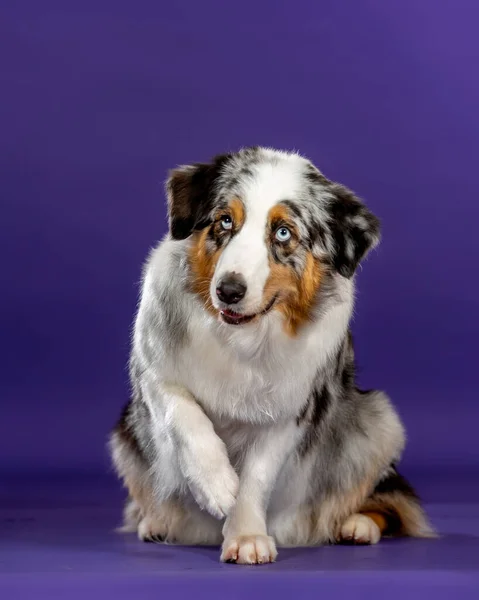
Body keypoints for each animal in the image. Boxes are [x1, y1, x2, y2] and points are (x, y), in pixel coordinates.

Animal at [110, 145, 436, 564]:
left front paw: (247, 536)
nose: (228, 290)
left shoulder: (293, 407)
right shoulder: (153, 372)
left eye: (283, 233)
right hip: (124, 438)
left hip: (380, 419)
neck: (242, 338)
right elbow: (184, 415)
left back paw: (355, 525)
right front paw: (216, 484)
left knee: (383, 500)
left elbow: (257, 476)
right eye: (224, 221)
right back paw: (157, 522)